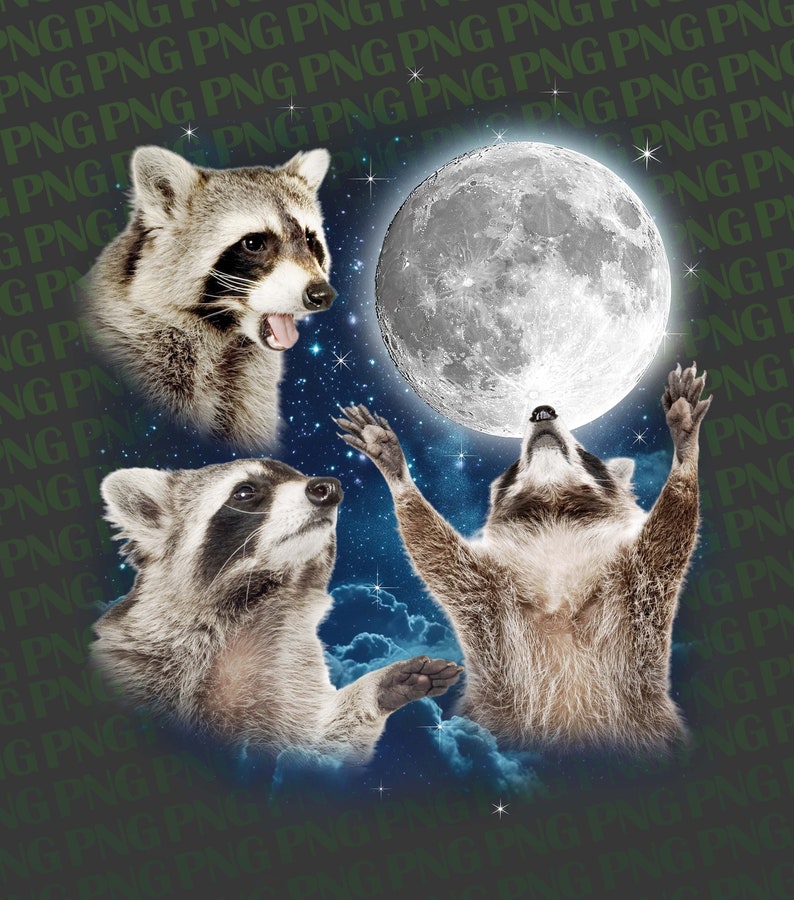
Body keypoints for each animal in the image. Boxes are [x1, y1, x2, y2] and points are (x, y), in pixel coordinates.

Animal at [92, 459, 462, 763]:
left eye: (301, 476)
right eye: (245, 491)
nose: (329, 488)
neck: (257, 600)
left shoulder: (285, 672)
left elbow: (318, 741)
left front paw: (378, 688)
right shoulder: (141, 662)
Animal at [335, 363, 712, 756]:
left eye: (583, 449)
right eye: (517, 461)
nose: (542, 411)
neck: (554, 516)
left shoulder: (636, 580)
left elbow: (665, 542)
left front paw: (684, 449)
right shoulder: (486, 592)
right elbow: (439, 556)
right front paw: (397, 473)